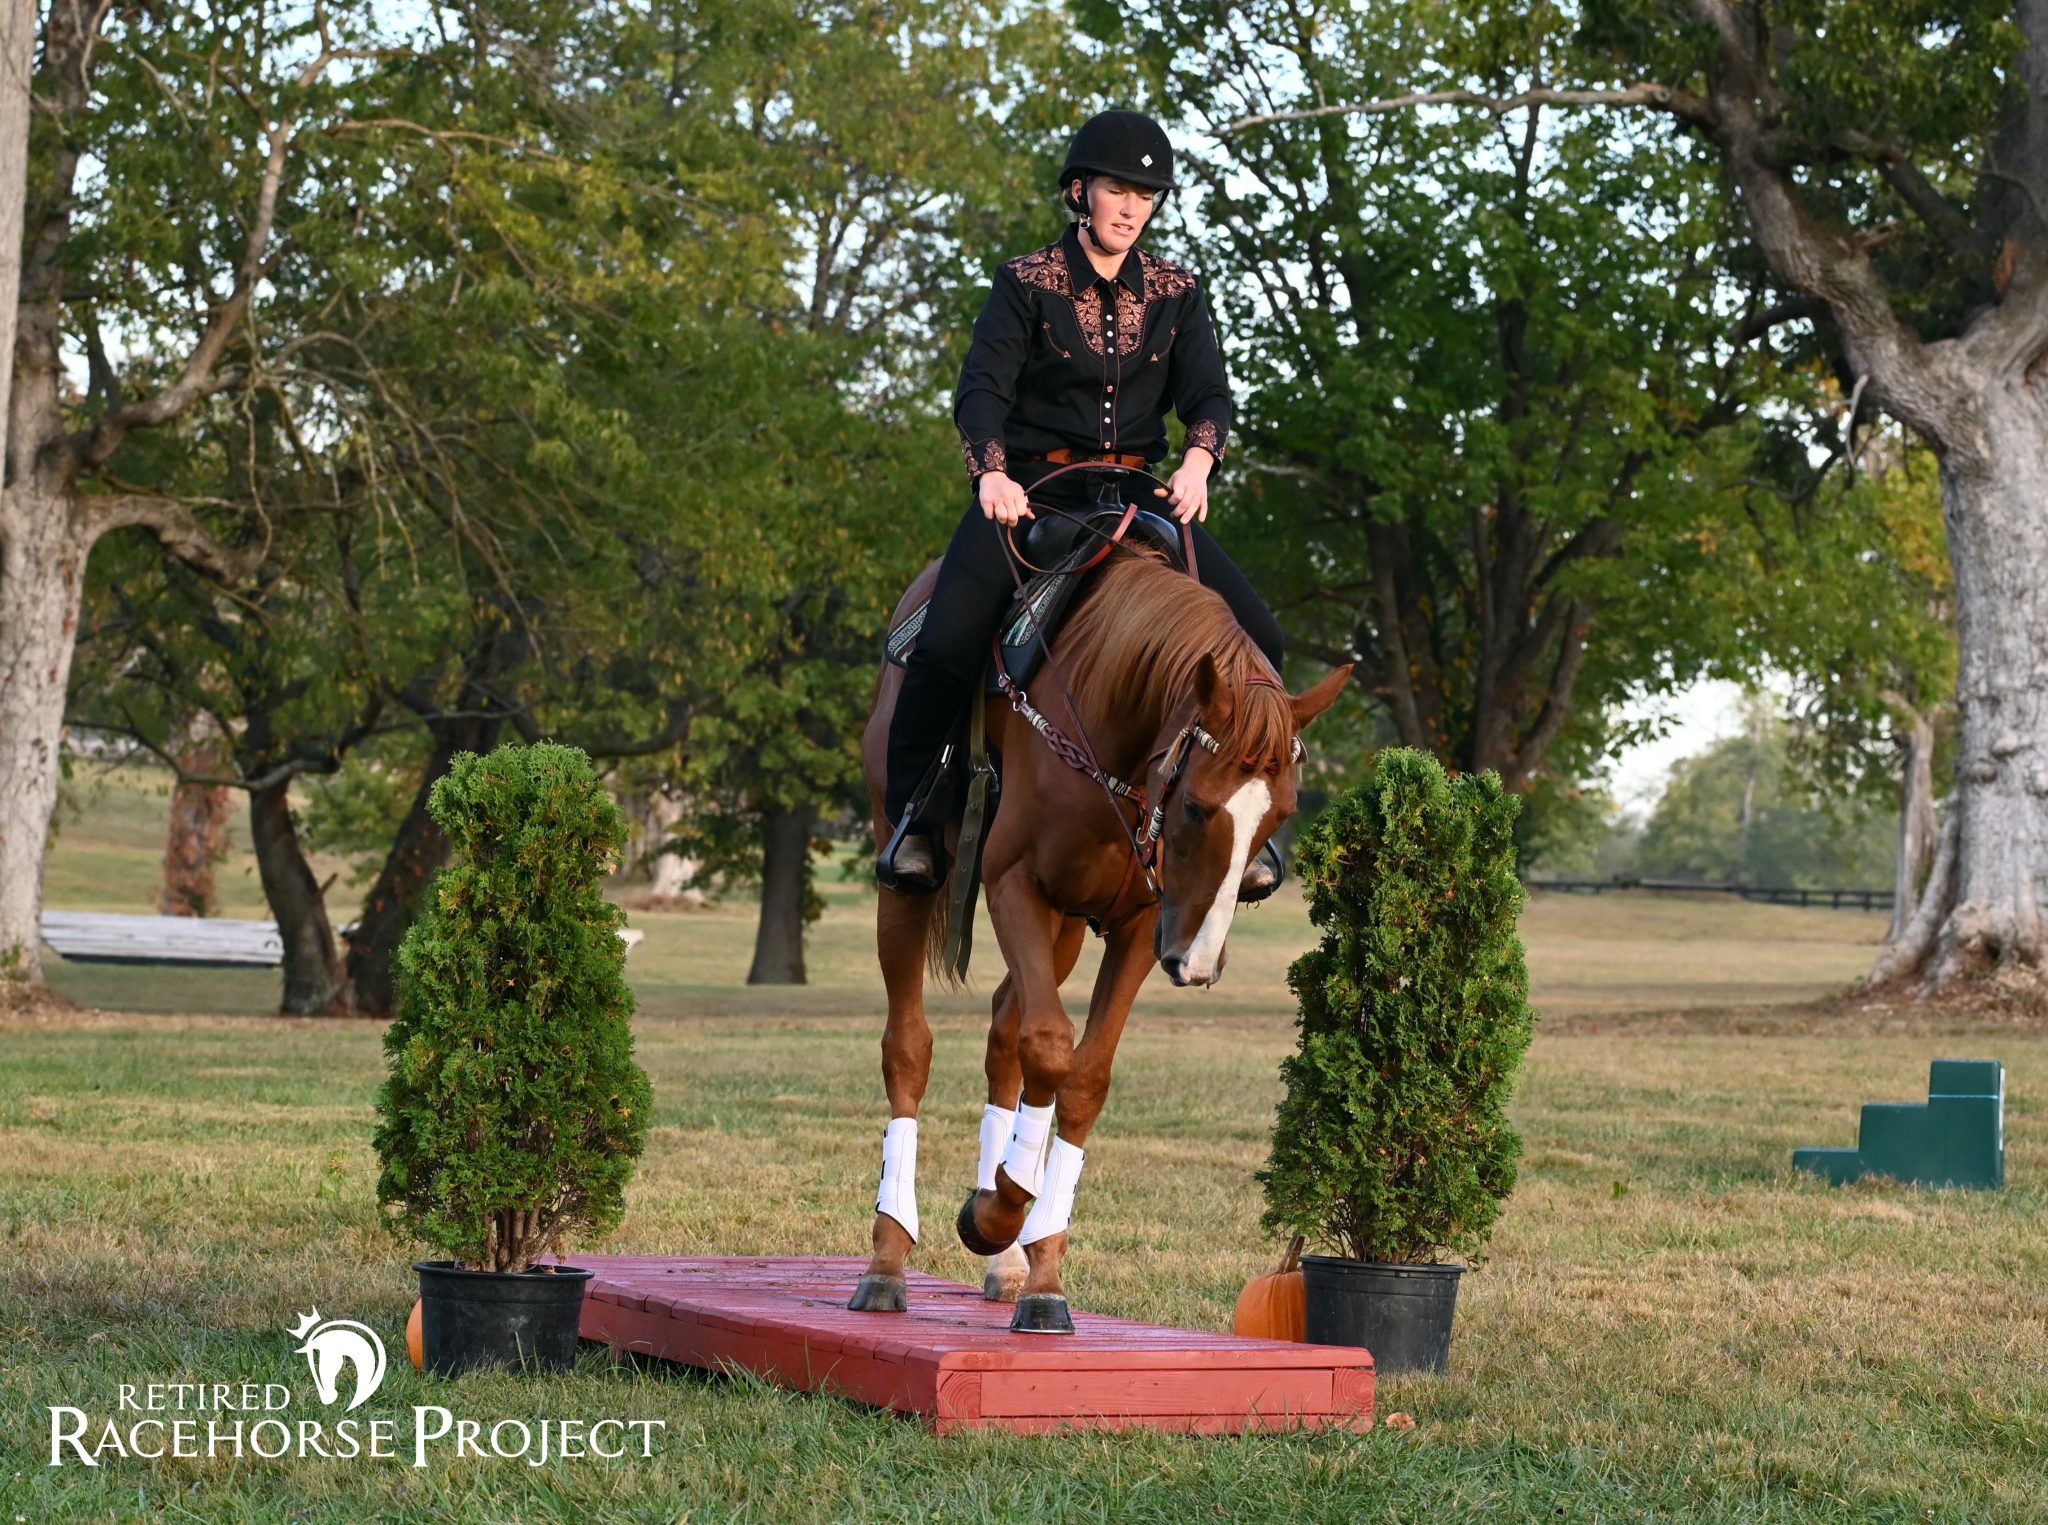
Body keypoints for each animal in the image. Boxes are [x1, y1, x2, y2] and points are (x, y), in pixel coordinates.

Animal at [849, 500, 1350, 1332]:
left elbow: (1082, 1077)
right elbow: (1051, 1046)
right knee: (910, 1046)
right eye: (1197, 804)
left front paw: (1038, 1263)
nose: (1199, 962)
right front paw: (1000, 1209)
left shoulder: (1140, 923)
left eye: (1279, 812)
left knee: (1004, 1028)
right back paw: (890, 1258)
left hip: (1067, 928)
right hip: (912, 878)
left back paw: (1007, 1255)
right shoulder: (1017, 884)